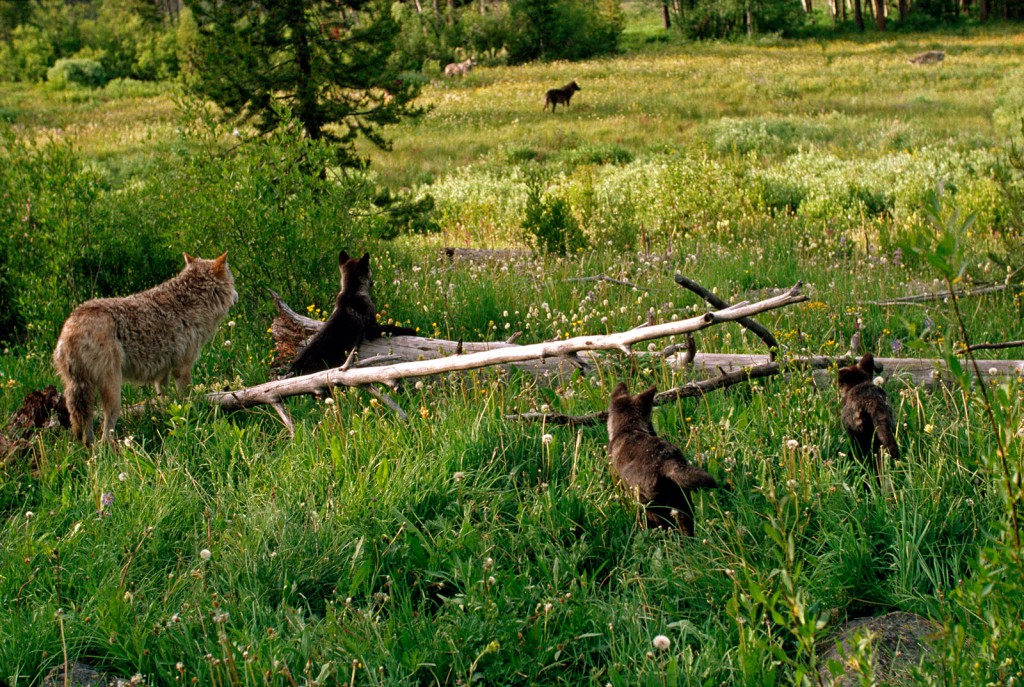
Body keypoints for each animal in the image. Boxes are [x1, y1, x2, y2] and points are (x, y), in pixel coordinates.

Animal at [53, 252, 237, 445]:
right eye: (232, 280)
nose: (237, 296)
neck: (192, 302)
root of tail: (71, 328)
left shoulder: (162, 374)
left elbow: (166, 403)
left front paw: (168, 422)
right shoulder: (182, 368)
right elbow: (186, 399)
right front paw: (191, 418)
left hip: (78, 393)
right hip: (113, 392)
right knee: (106, 433)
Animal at [289, 251, 417, 377]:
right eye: (370, 271)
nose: (373, 282)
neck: (351, 292)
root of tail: (294, 369)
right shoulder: (371, 329)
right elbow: (391, 327)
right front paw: (410, 330)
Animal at [607, 382, 723, 536]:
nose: (653, 432)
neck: (628, 428)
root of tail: (667, 463)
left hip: (651, 505)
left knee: (663, 525)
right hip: (682, 501)